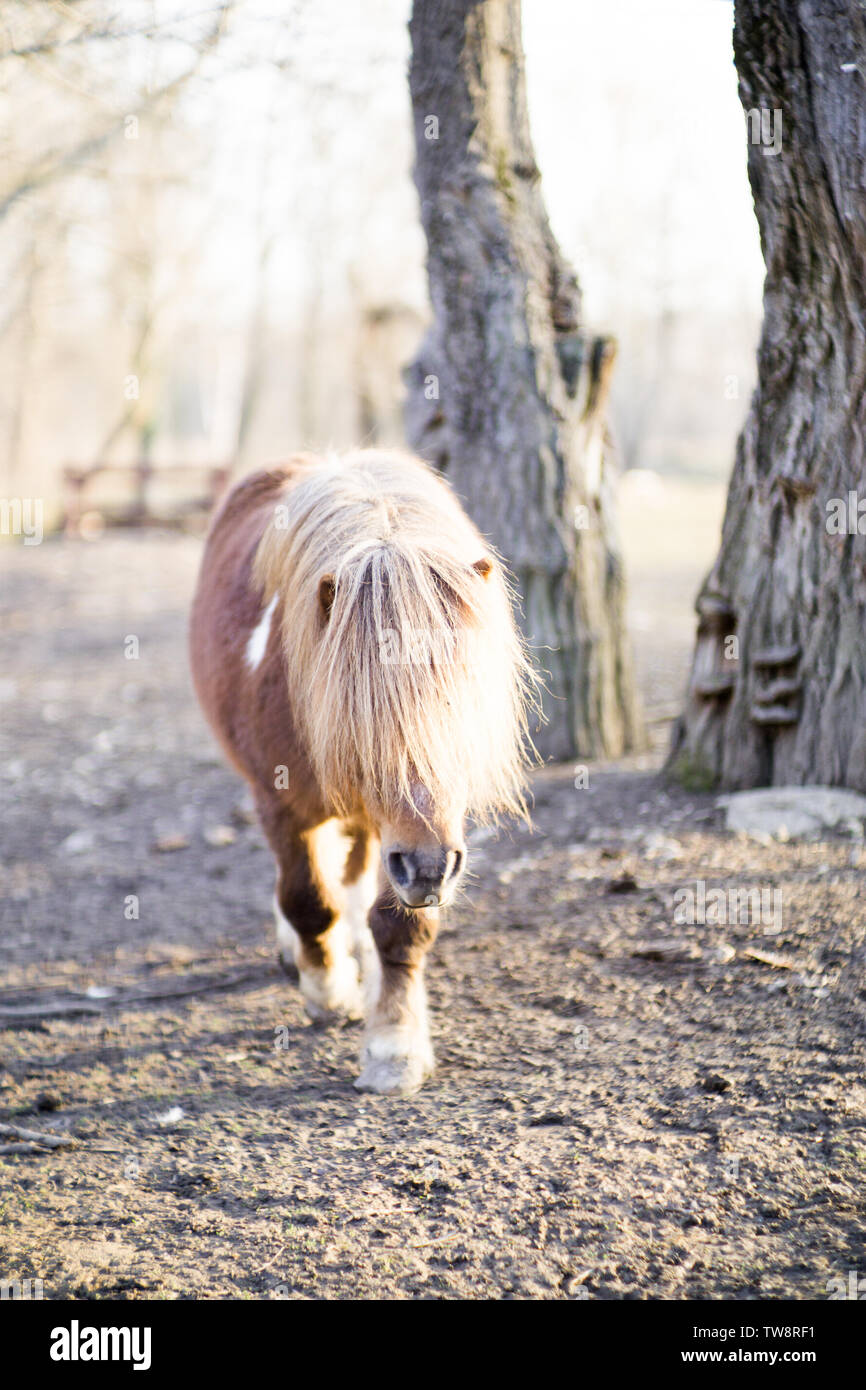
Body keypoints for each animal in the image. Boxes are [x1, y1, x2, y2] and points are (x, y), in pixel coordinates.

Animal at [189, 448, 536, 1093]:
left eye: (462, 711)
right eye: (363, 717)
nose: (428, 868)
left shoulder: (412, 842)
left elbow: (396, 927)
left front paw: (393, 1046)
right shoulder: (281, 805)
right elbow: (307, 900)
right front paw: (329, 993)